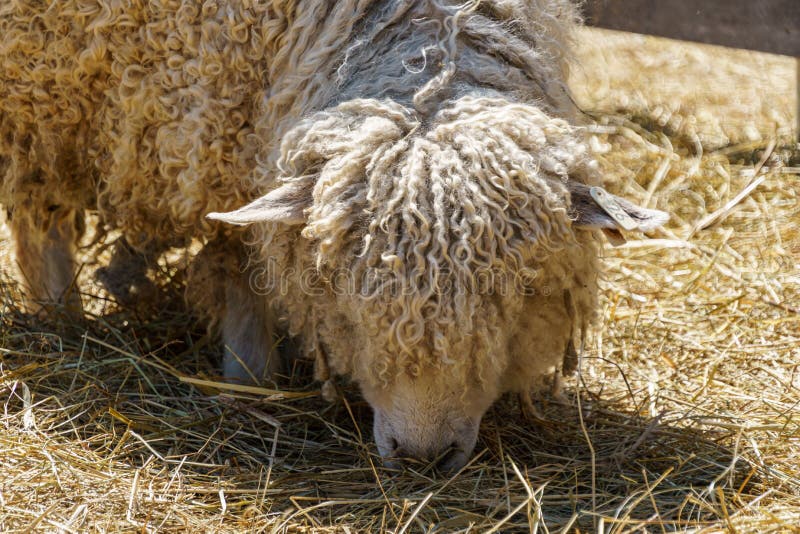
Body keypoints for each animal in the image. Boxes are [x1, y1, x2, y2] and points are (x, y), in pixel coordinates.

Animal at [1, 0, 668, 471]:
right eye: (345, 293)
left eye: (518, 293)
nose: (423, 457)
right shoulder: (219, 130)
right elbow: (241, 263)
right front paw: (251, 377)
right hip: (40, 94)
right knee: (40, 220)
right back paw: (61, 320)